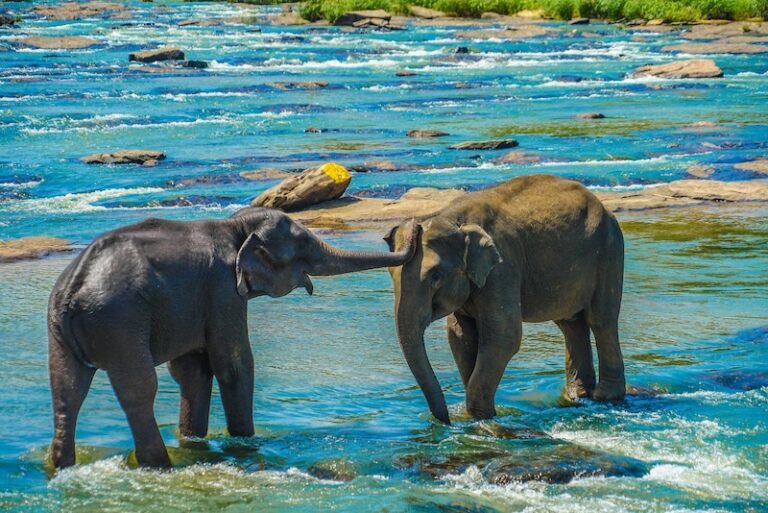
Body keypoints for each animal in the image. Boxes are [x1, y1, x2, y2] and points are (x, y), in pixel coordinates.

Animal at [48, 208, 418, 468]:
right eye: (302, 246)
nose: (413, 227)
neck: (235, 226)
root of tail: (75, 286)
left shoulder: (194, 303)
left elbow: (193, 370)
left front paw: (194, 440)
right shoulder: (222, 289)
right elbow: (234, 365)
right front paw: (246, 443)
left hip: (61, 329)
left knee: (67, 390)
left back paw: (61, 466)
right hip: (119, 321)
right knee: (139, 389)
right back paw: (160, 465)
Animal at [384, 174, 625, 424]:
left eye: (435, 276)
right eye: (390, 274)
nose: (447, 422)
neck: (454, 220)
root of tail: (599, 203)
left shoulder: (502, 268)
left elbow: (503, 336)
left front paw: (483, 417)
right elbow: (460, 336)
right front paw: (477, 416)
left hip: (609, 250)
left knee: (601, 320)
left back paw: (605, 397)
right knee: (571, 324)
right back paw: (578, 396)